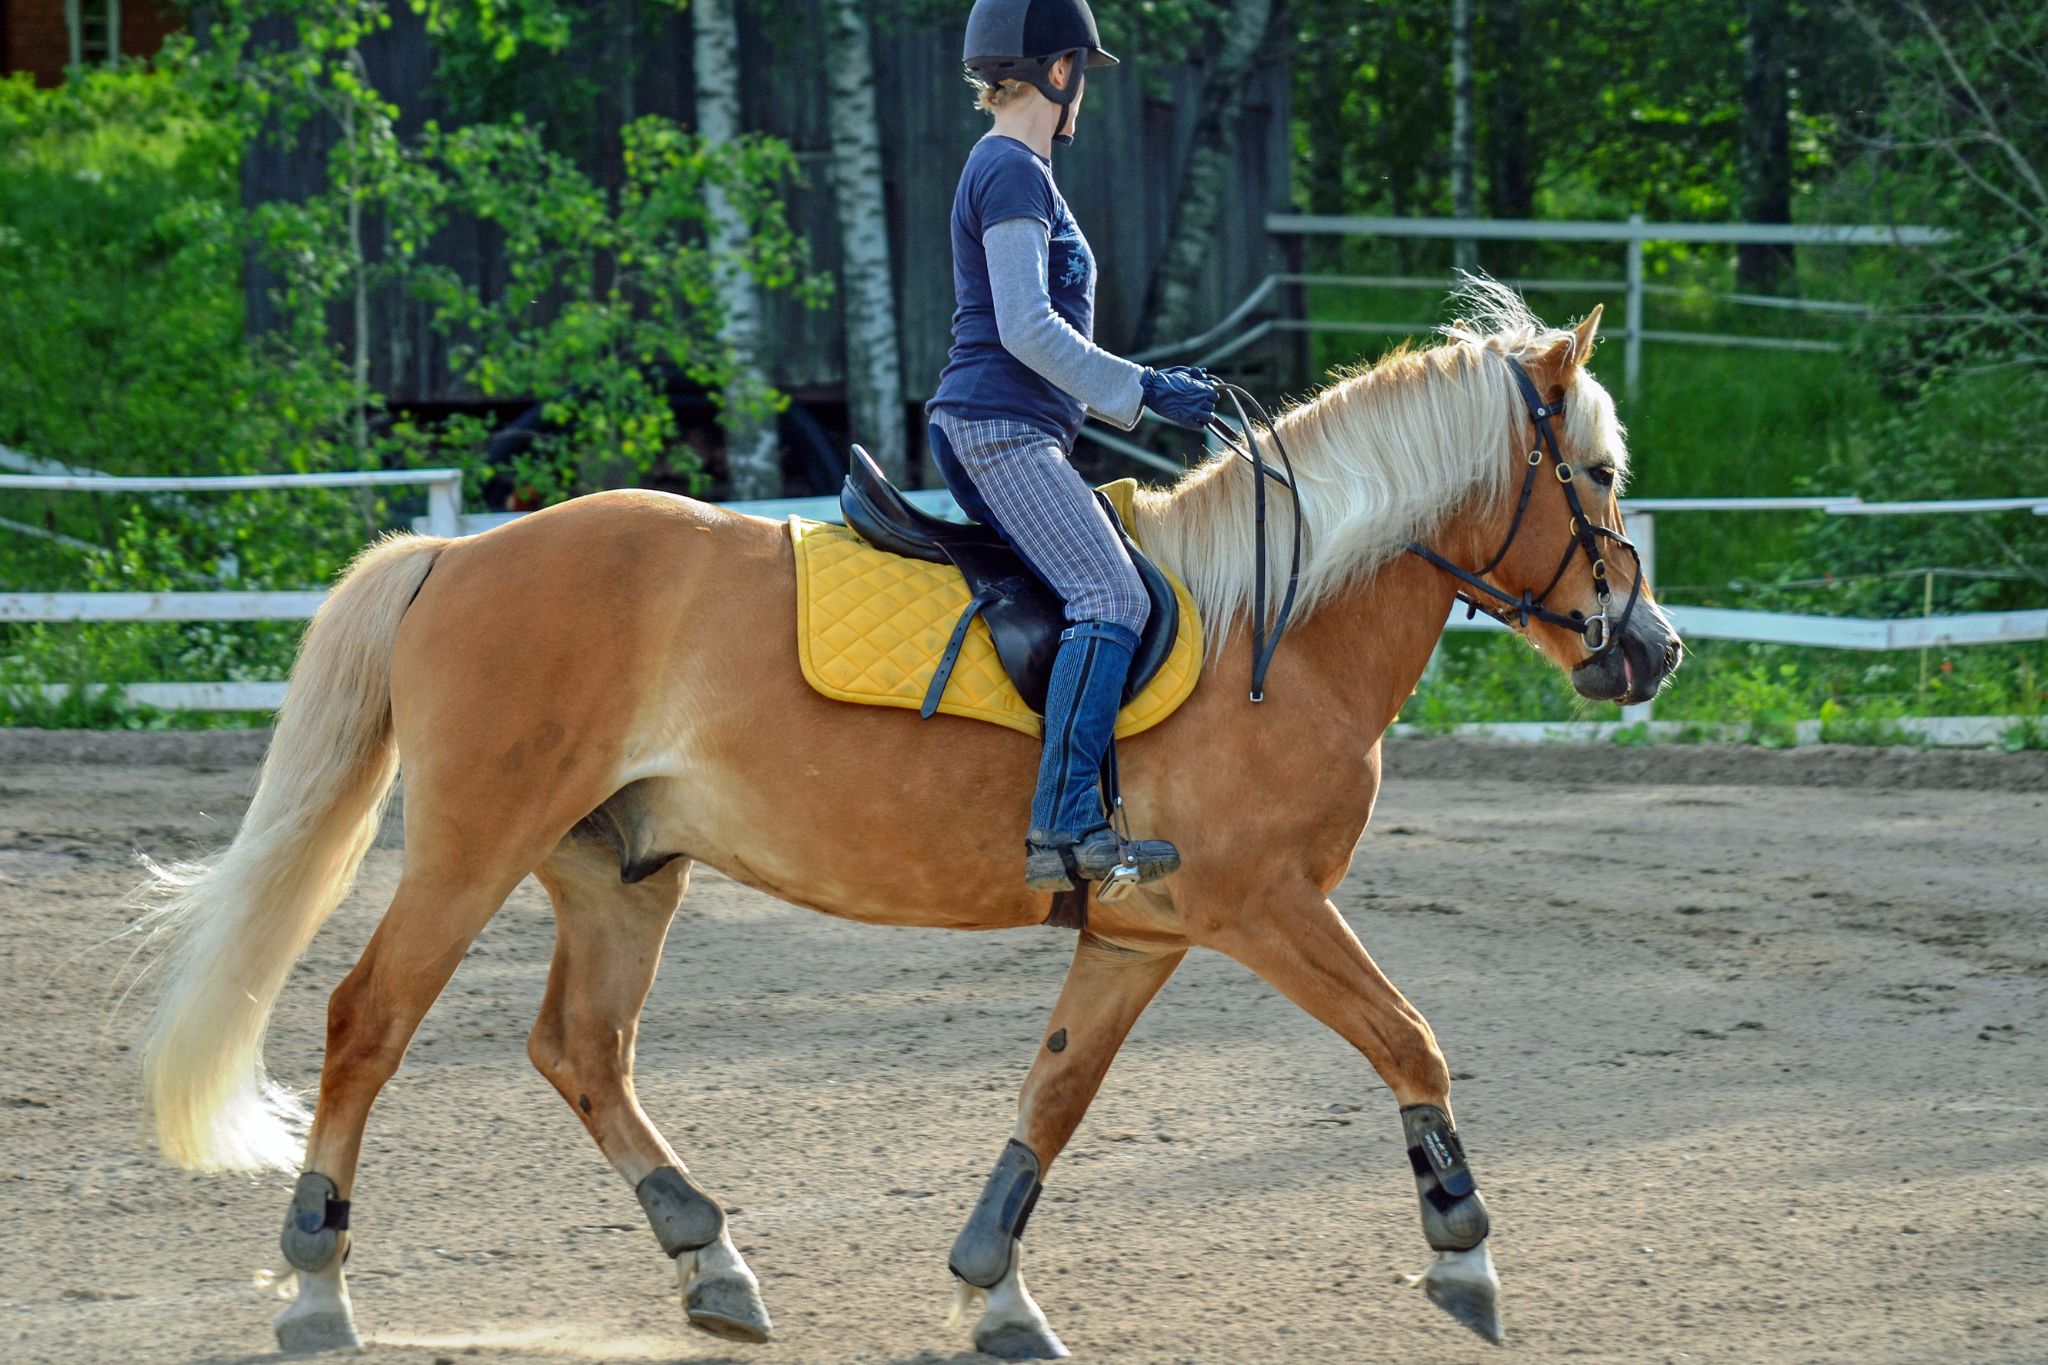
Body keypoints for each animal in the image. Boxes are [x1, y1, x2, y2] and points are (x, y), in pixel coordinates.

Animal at [136, 284, 1681, 1359]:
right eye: (1600, 477)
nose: (1650, 649)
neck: (1277, 631)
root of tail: (455, 553)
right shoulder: (1266, 906)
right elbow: (1406, 1037)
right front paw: (1463, 1250)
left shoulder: (1140, 931)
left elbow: (1052, 1097)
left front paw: (993, 1294)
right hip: (474, 847)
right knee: (369, 1019)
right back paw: (318, 1286)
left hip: (620, 870)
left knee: (580, 1049)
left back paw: (709, 1258)